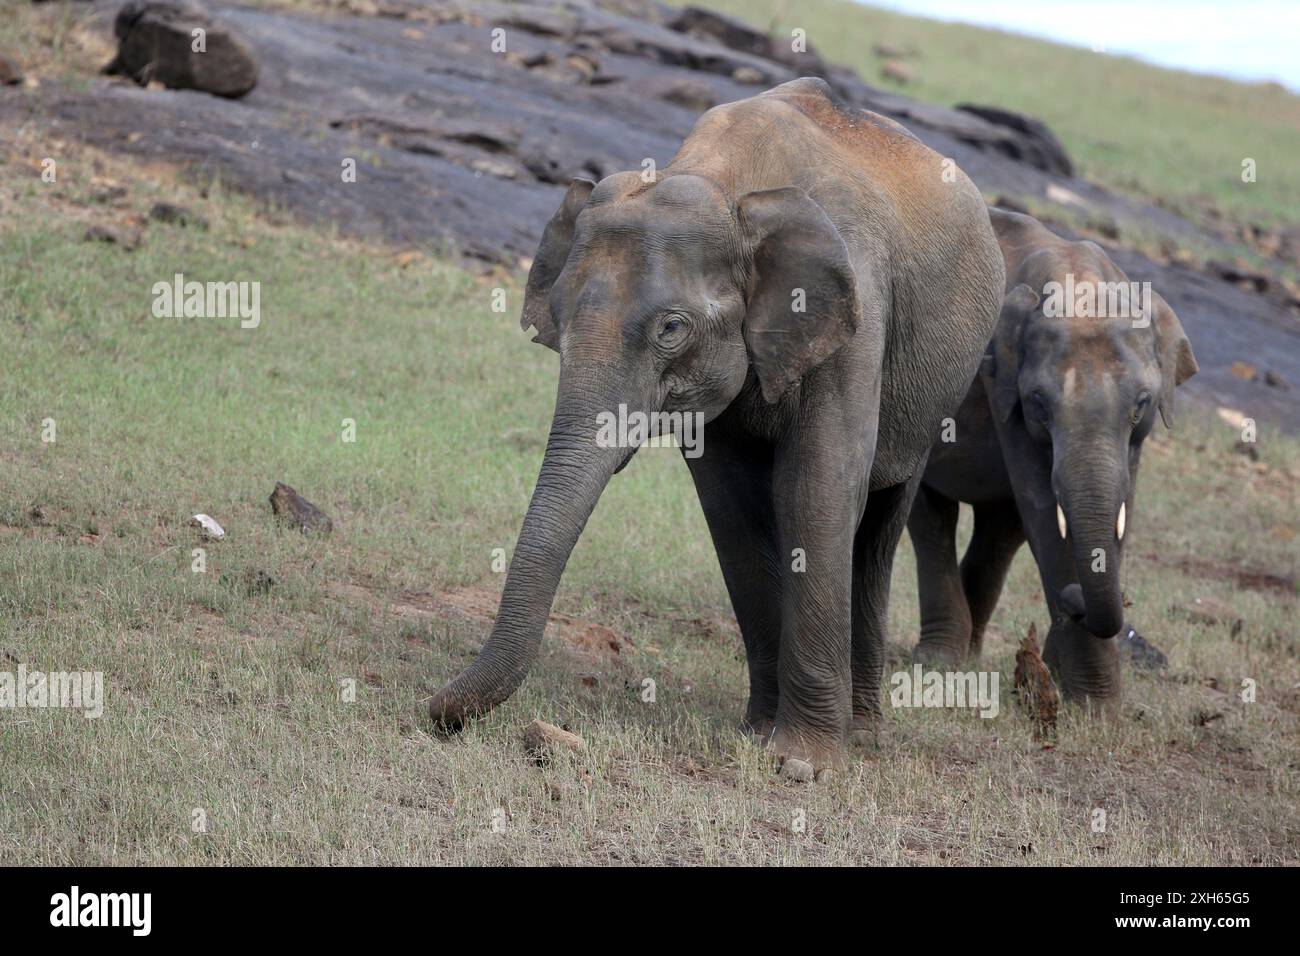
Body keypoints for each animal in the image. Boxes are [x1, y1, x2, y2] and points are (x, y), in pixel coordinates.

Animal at [429, 78, 1005, 779]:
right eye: (556, 325)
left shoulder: (855, 314)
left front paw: (802, 764)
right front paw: (758, 735)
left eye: (672, 329)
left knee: (879, 529)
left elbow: (816, 488)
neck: (721, 181)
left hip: (935, 393)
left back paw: (864, 734)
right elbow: (731, 506)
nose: (436, 714)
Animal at [909, 206, 1198, 704]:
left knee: (1000, 530)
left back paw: (972, 657)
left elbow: (1119, 508)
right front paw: (1095, 705)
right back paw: (941, 661)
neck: (1076, 275)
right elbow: (1044, 512)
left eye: (1141, 404)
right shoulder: (1002, 385)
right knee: (932, 518)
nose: (1074, 601)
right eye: (1040, 405)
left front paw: (1070, 685)